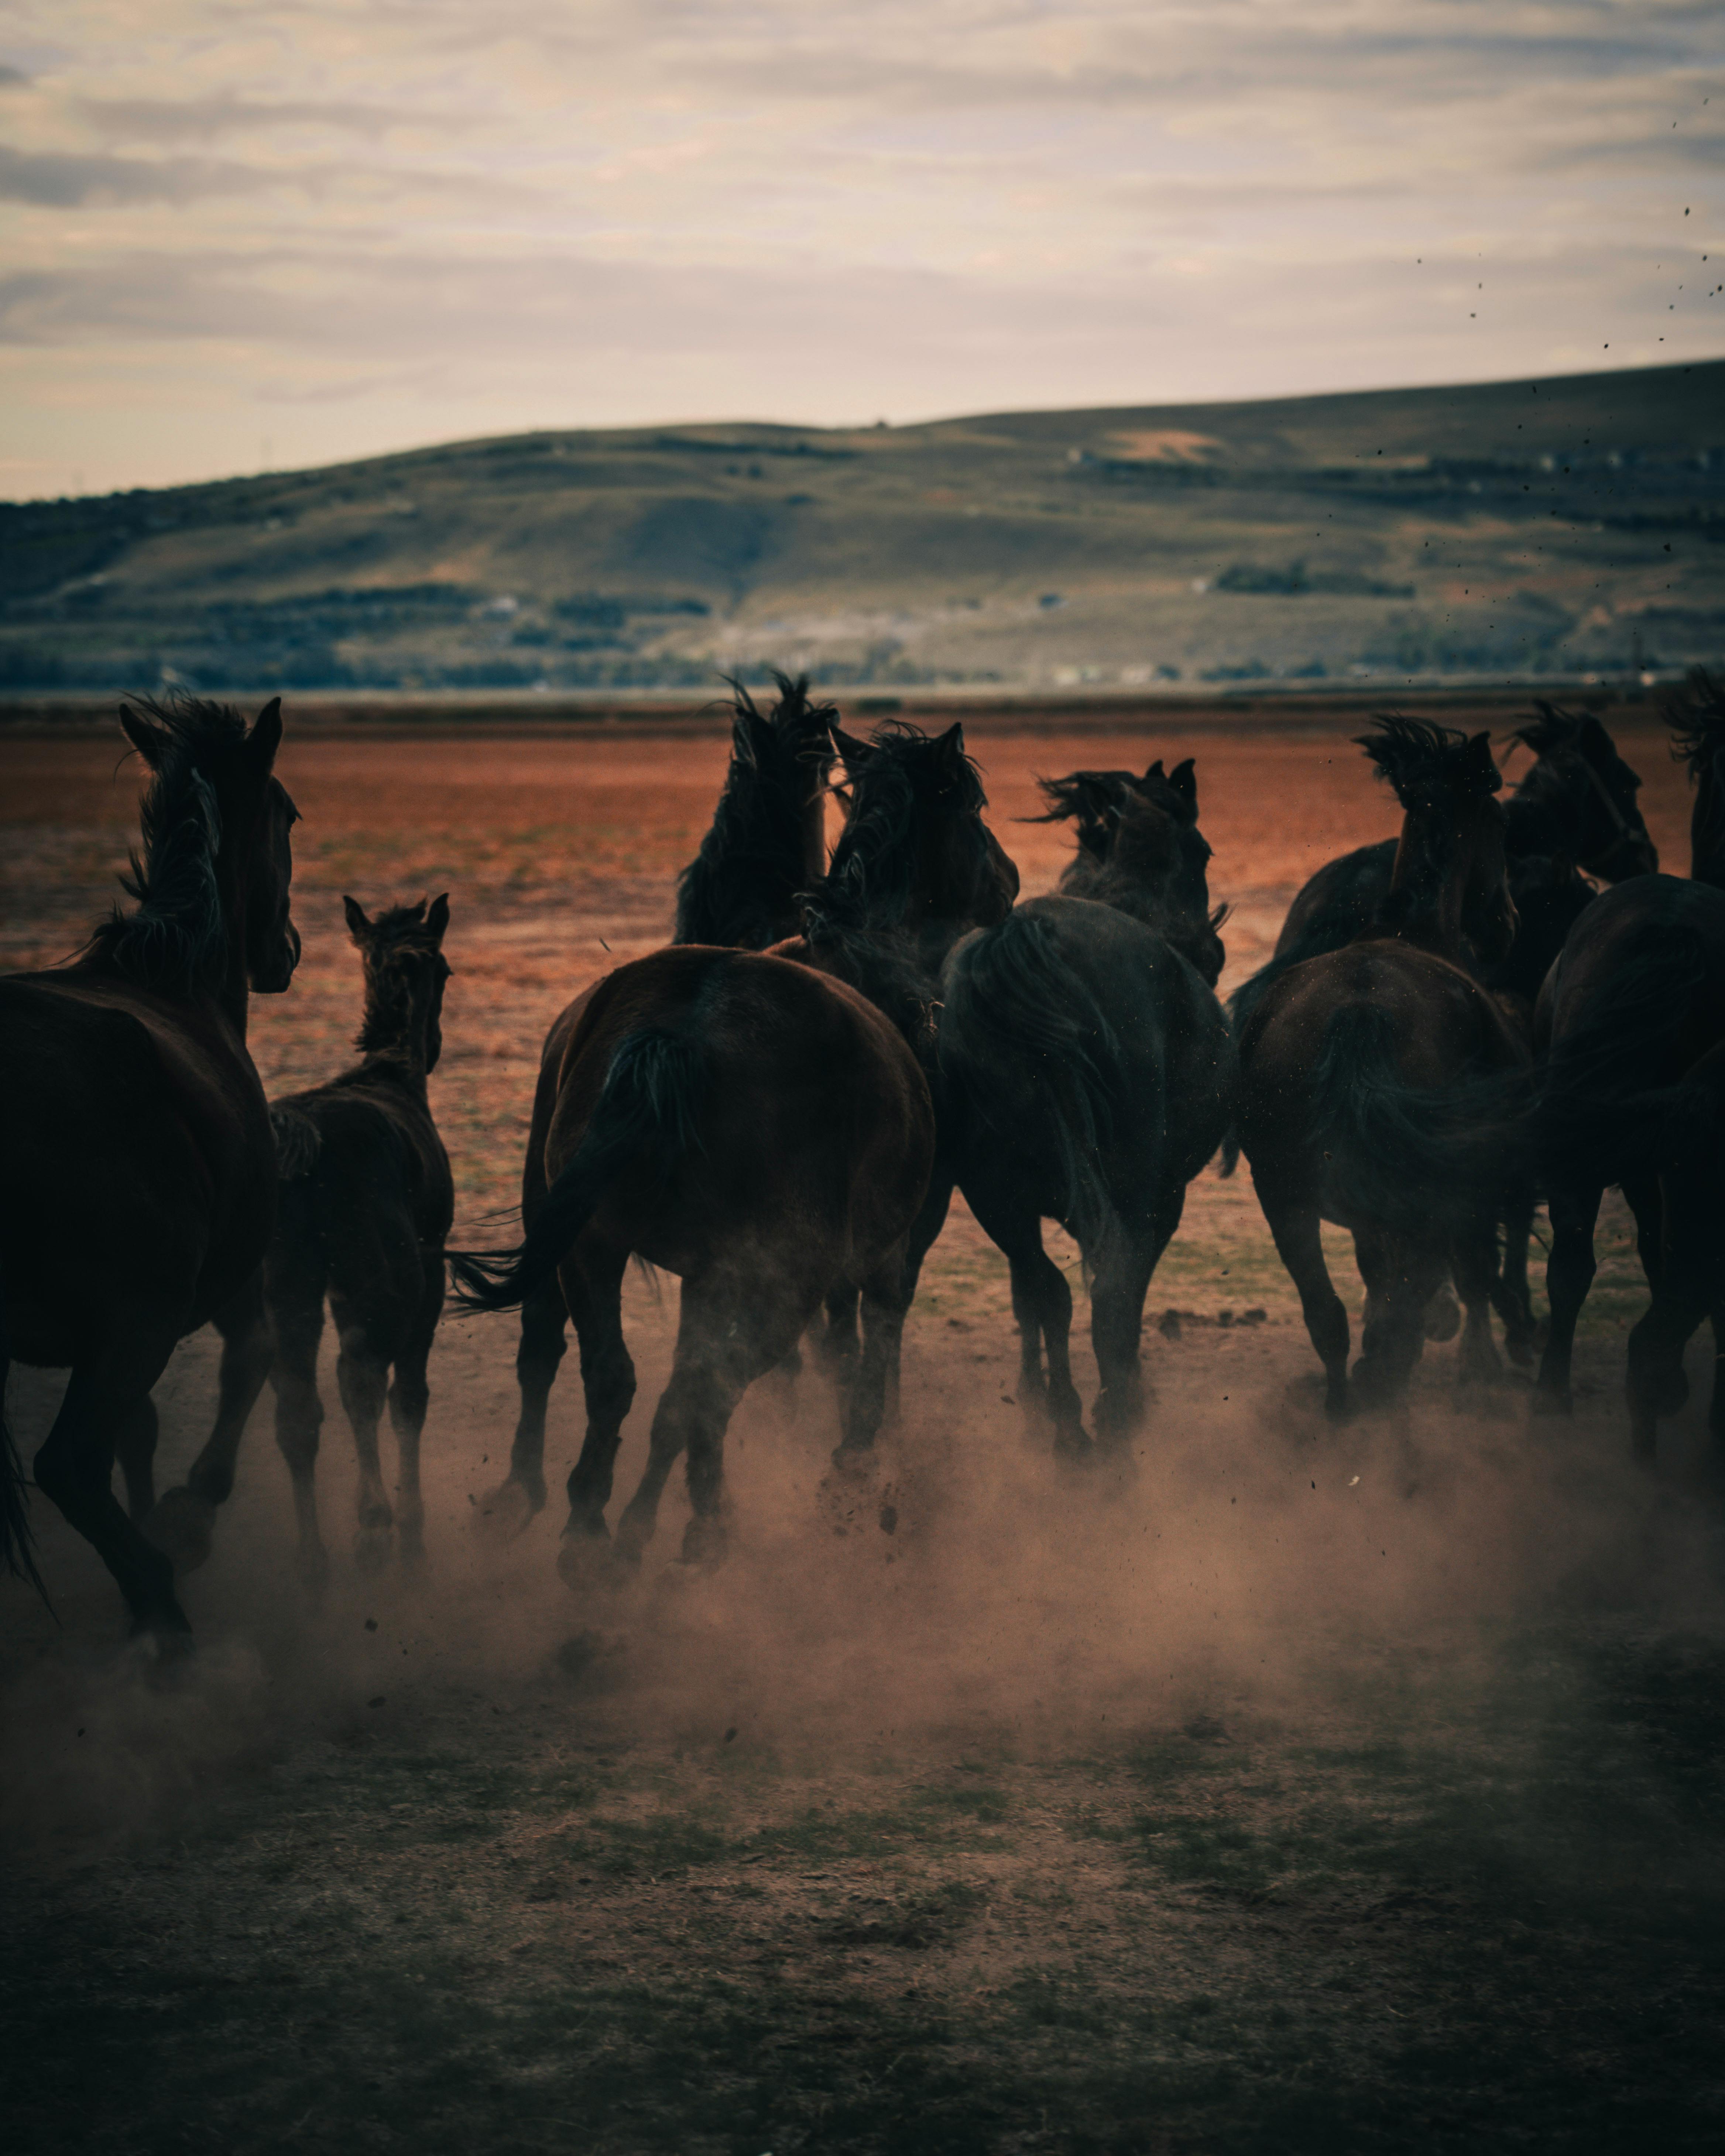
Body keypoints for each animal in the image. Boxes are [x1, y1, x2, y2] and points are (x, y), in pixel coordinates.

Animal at [0, 692, 300, 1640]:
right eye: (288, 814)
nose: (286, 949)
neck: (176, 979)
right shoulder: (195, 1295)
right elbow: (251, 1358)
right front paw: (188, 1515)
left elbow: (141, 1431)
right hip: (140, 1316)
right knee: (66, 1465)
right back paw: (160, 1606)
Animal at [447, 948, 934, 1573]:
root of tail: (685, 1030)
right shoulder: (870, 1269)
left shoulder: (703, 1280)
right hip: (782, 1288)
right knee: (700, 1389)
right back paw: (674, 1529)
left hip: (585, 1243)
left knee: (599, 1369)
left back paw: (582, 1525)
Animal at [935, 760, 1236, 1451]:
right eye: (1203, 850)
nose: (1212, 956)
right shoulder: (1161, 1201)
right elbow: (1126, 1293)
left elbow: (1030, 1300)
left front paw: (1035, 1401)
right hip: (1126, 1188)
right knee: (1111, 1292)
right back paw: (1112, 1427)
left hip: (994, 1192)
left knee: (1048, 1288)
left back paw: (1069, 1432)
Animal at [1235, 719, 1529, 1416]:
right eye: (1500, 824)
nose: (1506, 925)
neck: (1413, 930)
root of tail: (1359, 1009)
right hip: (1415, 1208)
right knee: (1400, 1326)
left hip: (1286, 1199)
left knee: (1333, 1320)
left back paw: (1346, 1413)